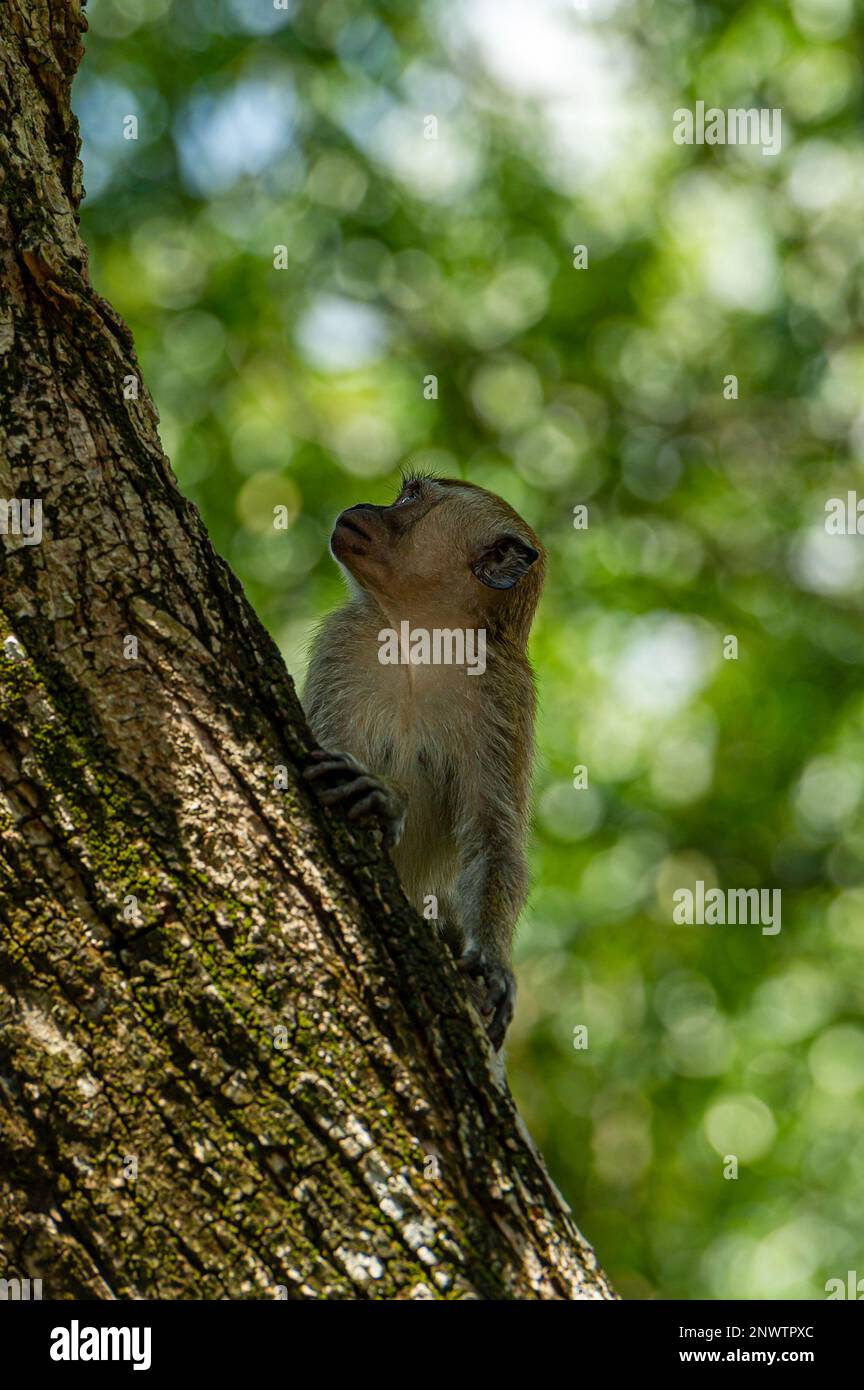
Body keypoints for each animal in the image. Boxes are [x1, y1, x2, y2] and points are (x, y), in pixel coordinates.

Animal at [302, 472, 545, 1050]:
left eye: (411, 498)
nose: (363, 505)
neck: (421, 638)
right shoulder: (345, 642)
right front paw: (384, 800)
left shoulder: (505, 695)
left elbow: (492, 830)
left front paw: (493, 963)